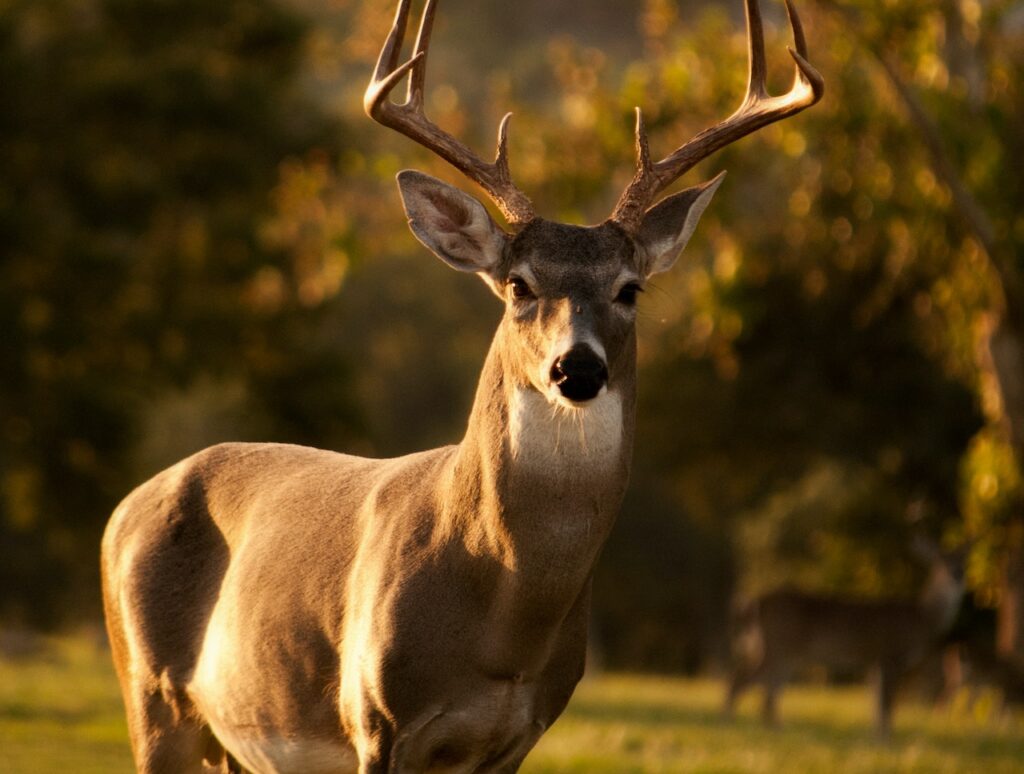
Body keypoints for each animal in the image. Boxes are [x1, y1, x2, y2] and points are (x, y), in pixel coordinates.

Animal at [101, 1, 822, 771]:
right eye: (519, 284)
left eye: (630, 288)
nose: (578, 368)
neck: (502, 623)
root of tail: (123, 509)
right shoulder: (373, 720)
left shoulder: (519, 736)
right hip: (150, 694)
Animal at [724, 537, 967, 738]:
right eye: (940, 562)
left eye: (964, 560)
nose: (957, 575)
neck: (922, 618)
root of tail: (751, 604)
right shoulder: (889, 654)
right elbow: (886, 703)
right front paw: (886, 739)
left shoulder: (874, 661)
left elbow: (876, 702)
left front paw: (875, 737)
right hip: (777, 647)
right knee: (744, 680)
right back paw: (731, 723)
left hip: (776, 651)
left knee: (766, 689)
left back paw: (773, 728)